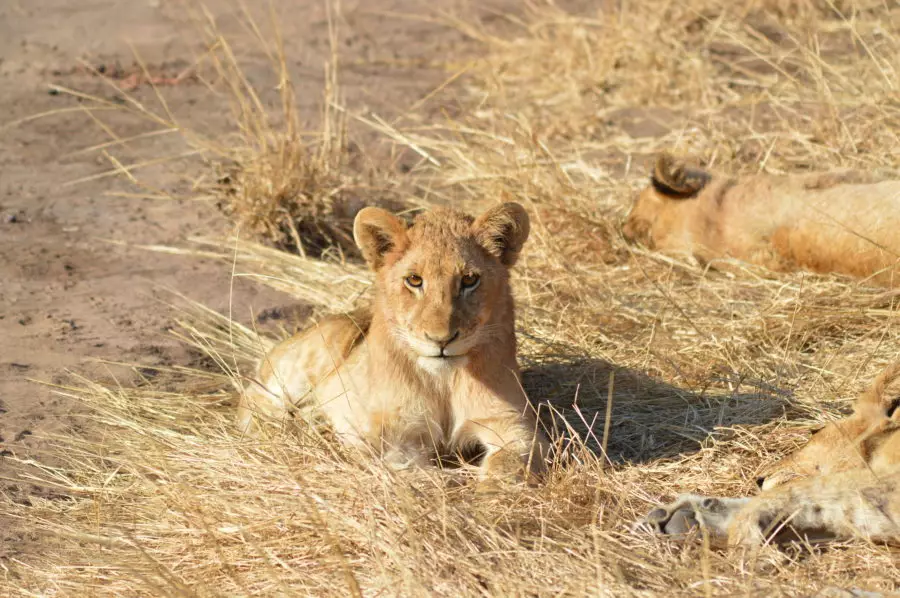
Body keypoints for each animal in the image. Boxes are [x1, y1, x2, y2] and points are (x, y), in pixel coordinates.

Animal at [237, 204, 548, 480]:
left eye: (469, 279)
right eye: (414, 280)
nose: (441, 339)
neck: (443, 383)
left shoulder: (514, 424)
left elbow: (511, 464)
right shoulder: (384, 435)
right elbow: (408, 471)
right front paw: (450, 481)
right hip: (314, 353)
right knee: (253, 400)